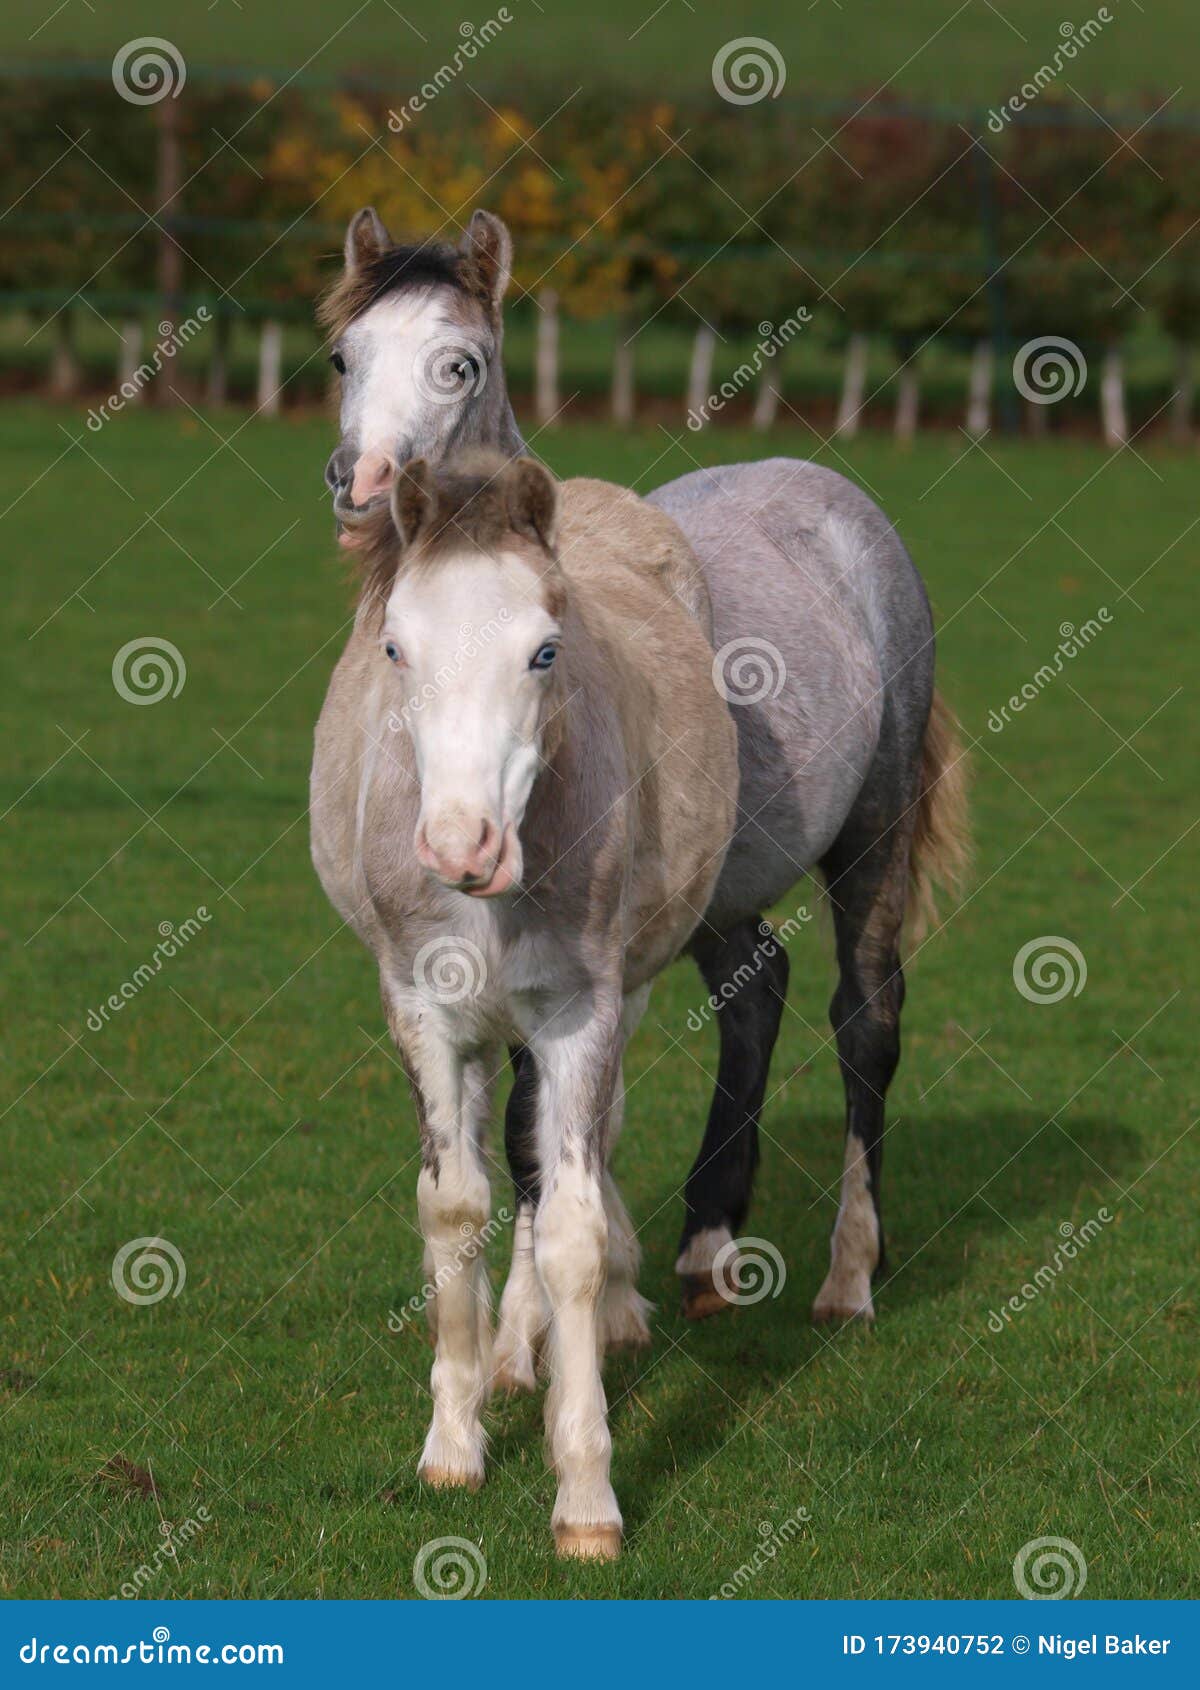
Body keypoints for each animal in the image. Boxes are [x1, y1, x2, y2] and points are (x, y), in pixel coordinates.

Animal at [310, 449, 739, 1557]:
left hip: (626, 990)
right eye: (395, 647)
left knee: (574, 1155)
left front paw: (586, 1495)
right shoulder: (419, 1009)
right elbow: (456, 1204)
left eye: (547, 652)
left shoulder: (581, 1012)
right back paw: (509, 1356)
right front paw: (454, 1443)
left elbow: (571, 1227)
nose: (463, 846)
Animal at [320, 206, 970, 1347]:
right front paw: (589, 1306)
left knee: (867, 1017)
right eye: (344, 355)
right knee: (757, 993)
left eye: (460, 361)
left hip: (873, 835)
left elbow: (540, 1125)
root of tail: (829, 491)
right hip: (722, 895)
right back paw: (707, 1242)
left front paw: (526, 1339)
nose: (363, 484)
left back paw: (849, 1272)